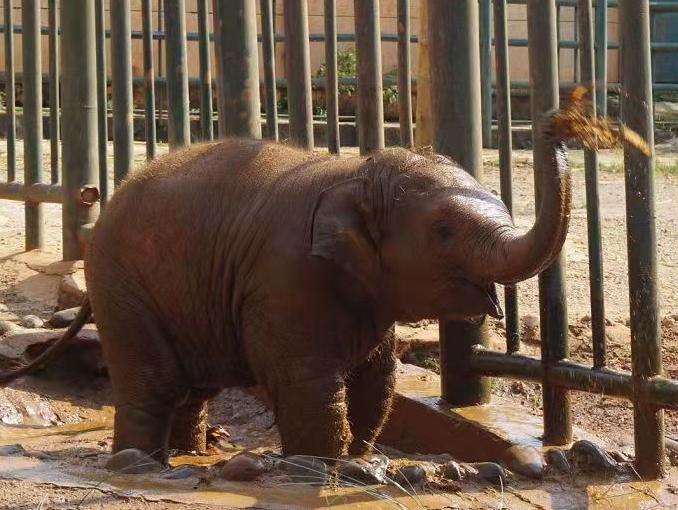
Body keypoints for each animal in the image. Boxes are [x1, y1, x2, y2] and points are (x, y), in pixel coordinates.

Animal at [0, 110, 571, 465]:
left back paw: (192, 453)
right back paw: (142, 462)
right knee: (152, 382)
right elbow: (308, 382)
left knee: (192, 388)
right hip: (122, 289)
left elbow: (377, 381)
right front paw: (327, 467)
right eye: (445, 231)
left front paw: (360, 460)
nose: (558, 123)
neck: (355, 173)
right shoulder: (285, 279)